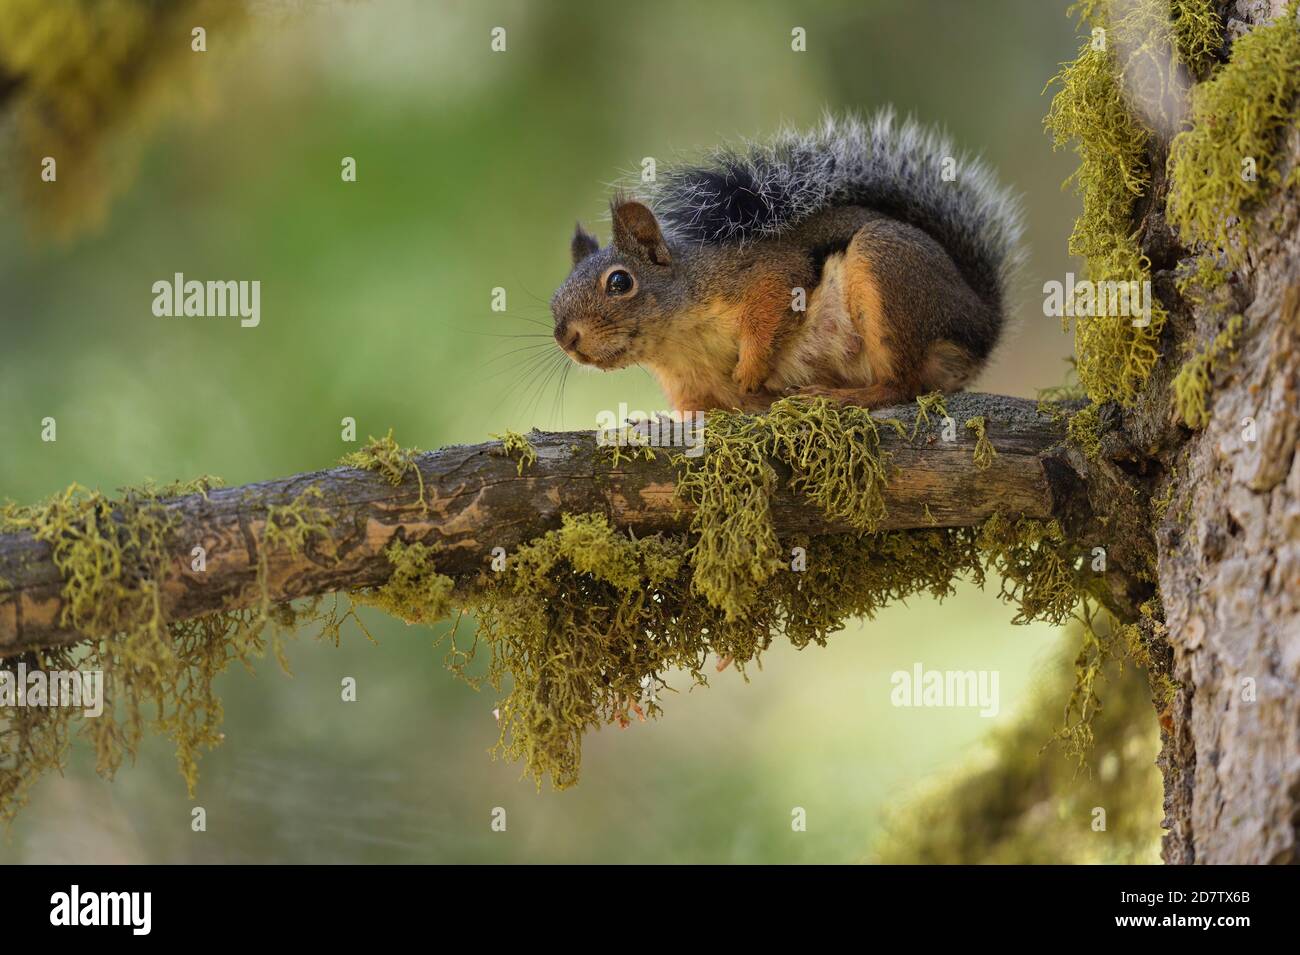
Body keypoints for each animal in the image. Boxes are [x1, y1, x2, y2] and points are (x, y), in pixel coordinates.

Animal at [549, 112, 1023, 413]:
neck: (679, 348)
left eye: (619, 283)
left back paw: (847, 396)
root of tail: (981, 319)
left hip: (886, 263)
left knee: (903, 384)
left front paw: (749, 371)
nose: (566, 338)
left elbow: (773, 301)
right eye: (555, 298)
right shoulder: (690, 392)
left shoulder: (762, 273)